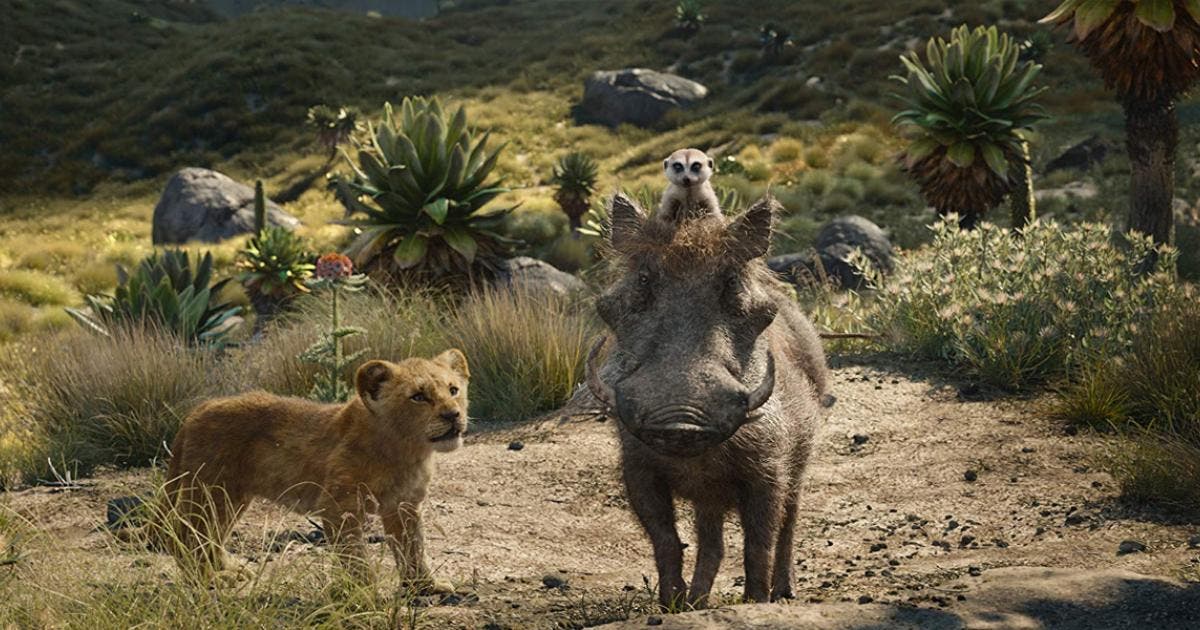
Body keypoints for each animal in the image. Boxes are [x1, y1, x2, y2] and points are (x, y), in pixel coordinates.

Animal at [151, 350, 469, 592]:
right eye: (418, 397)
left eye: (454, 390)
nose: (453, 415)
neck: (406, 450)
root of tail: (196, 411)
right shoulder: (339, 506)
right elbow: (354, 555)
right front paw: (365, 594)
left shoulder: (404, 506)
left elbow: (413, 548)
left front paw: (425, 587)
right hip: (210, 491)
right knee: (185, 534)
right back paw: (210, 579)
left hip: (231, 497)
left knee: (211, 535)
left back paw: (230, 568)